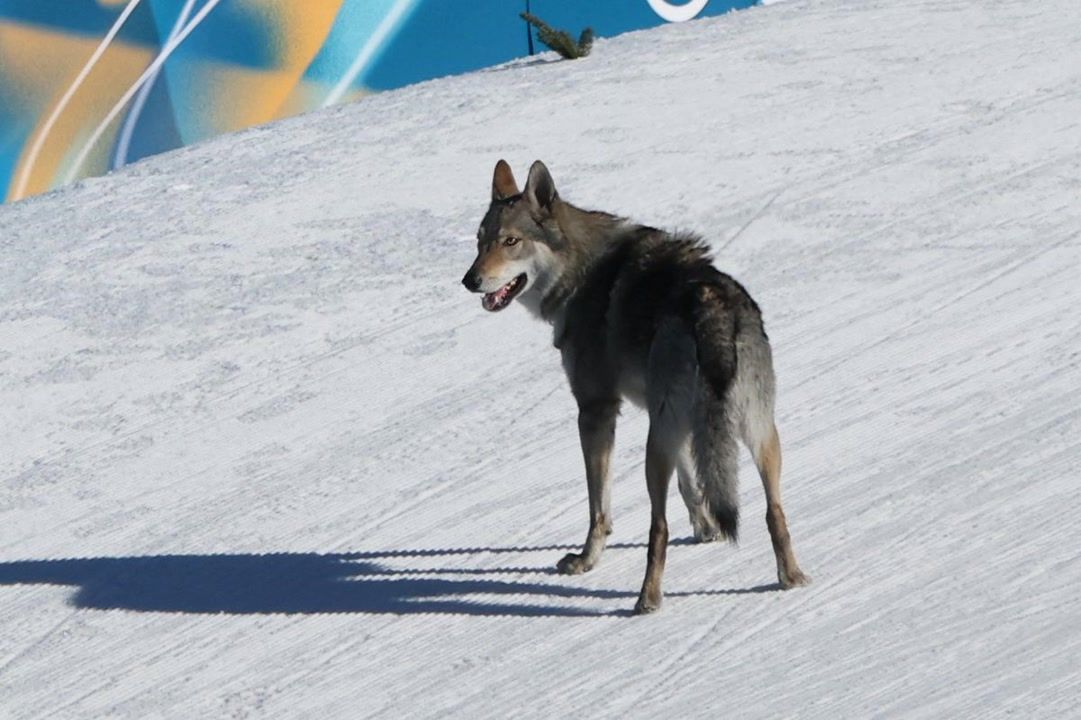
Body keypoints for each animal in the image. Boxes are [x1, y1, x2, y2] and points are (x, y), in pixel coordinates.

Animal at [462, 159, 809, 614]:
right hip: (756, 433)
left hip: (654, 447)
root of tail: (709, 302)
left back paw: (646, 601)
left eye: (511, 242)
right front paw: (708, 530)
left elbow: (599, 509)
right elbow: (692, 483)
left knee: (657, 528)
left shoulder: (596, 410)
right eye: (480, 242)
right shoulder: (673, 420)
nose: (469, 280)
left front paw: (585, 561)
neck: (580, 274)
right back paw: (791, 579)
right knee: (775, 511)